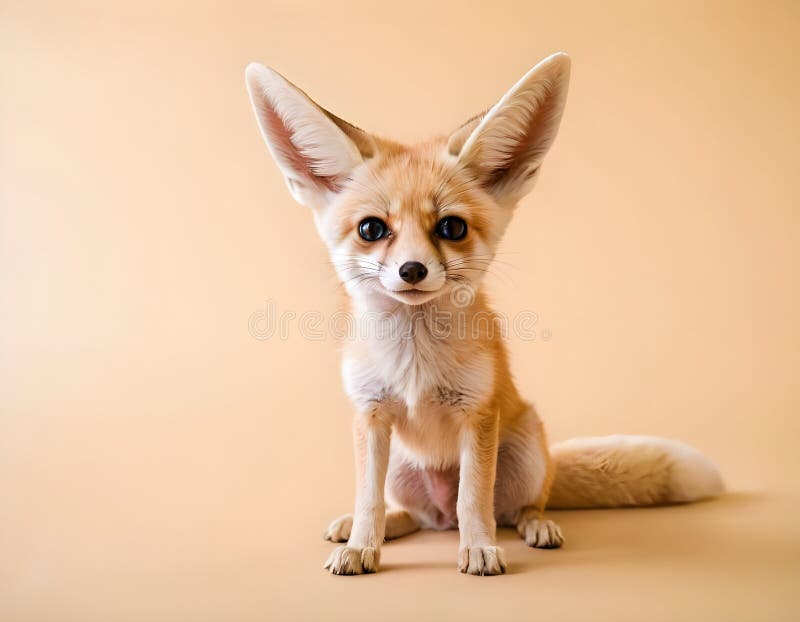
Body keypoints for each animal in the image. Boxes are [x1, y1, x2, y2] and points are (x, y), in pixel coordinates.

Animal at [244, 52, 724, 576]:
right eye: (372, 229)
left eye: (451, 228)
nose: (412, 270)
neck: (415, 363)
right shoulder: (370, 416)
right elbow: (367, 500)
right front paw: (361, 547)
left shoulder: (477, 414)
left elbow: (473, 499)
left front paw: (478, 549)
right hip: (402, 469)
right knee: (414, 515)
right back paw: (372, 527)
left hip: (525, 450)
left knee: (511, 509)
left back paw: (536, 526)